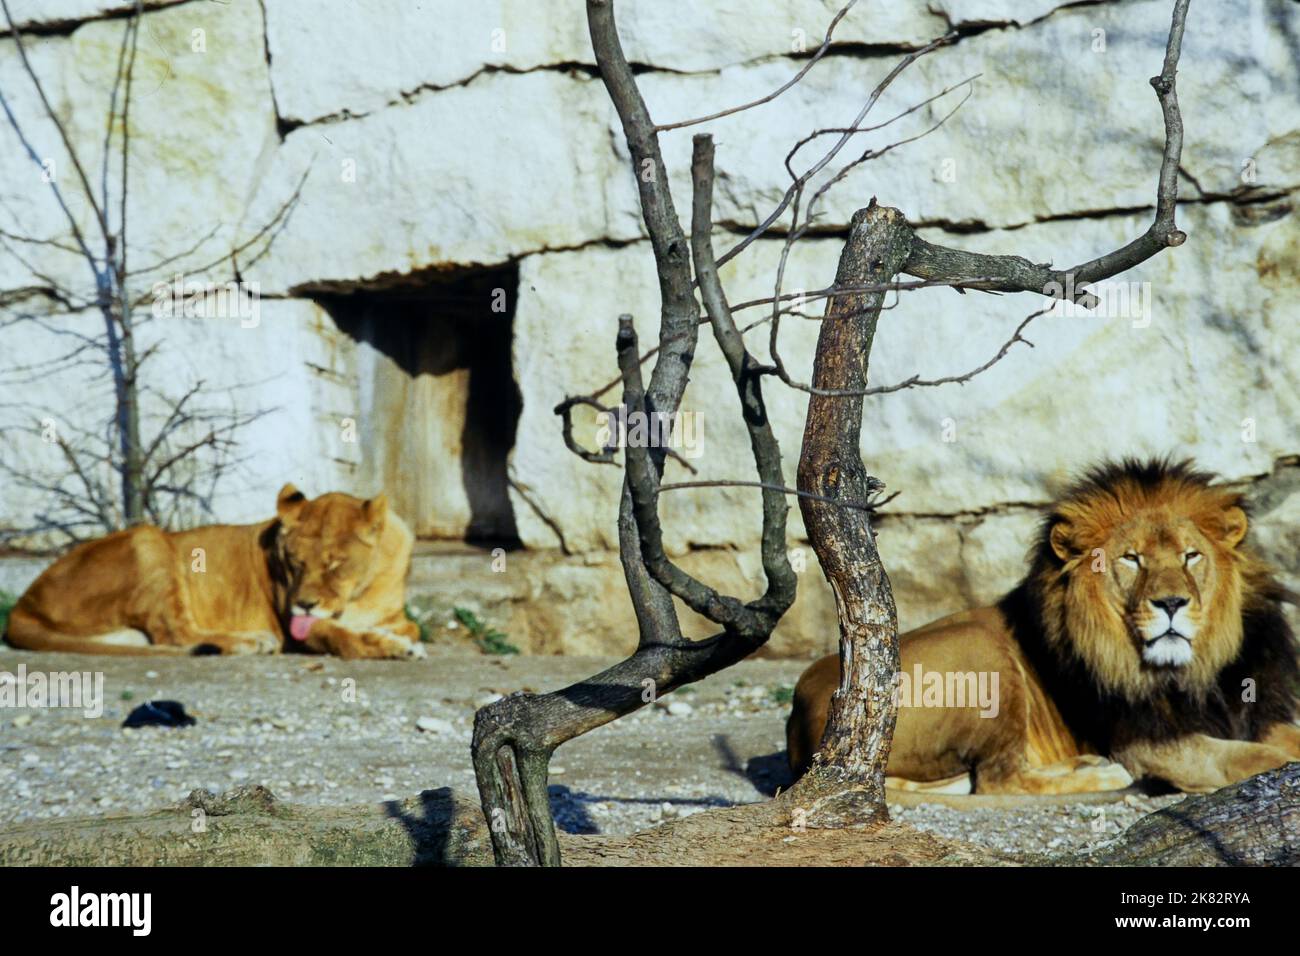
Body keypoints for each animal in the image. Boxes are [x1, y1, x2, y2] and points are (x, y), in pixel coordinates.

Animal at [4, 485, 426, 660]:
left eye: (335, 562)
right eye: (295, 562)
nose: (304, 604)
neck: (364, 589)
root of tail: (22, 604)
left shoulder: (393, 614)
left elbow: (407, 627)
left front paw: (391, 636)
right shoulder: (295, 627)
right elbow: (340, 637)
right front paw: (392, 647)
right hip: (149, 539)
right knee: (176, 631)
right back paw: (251, 642)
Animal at [787, 458, 1300, 794]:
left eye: (1191, 556)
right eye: (1131, 559)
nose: (1171, 602)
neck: (1196, 669)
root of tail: (796, 710)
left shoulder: (1258, 712)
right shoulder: (1146, 744)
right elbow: (1245, 757)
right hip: (980, 649)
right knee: (999, 782)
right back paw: (1103, 775)